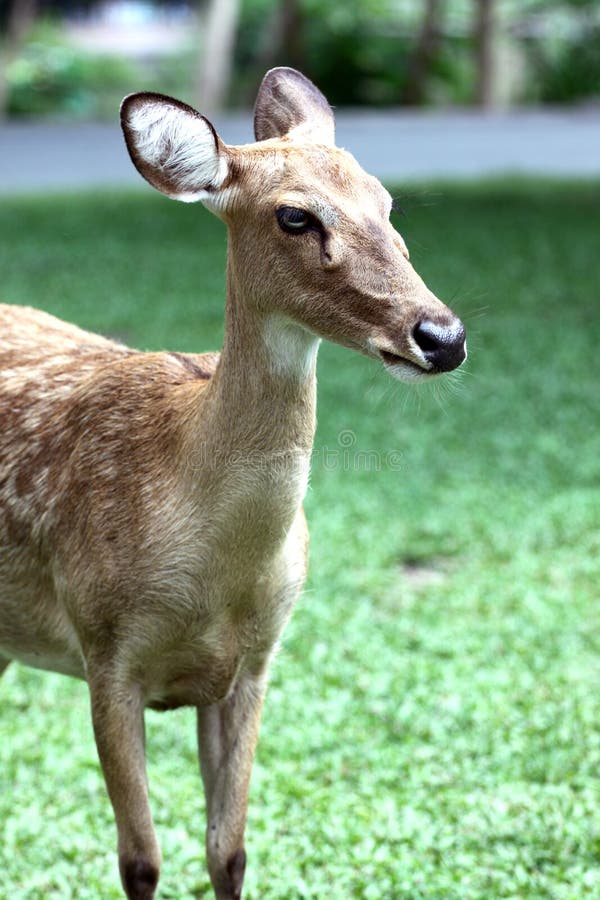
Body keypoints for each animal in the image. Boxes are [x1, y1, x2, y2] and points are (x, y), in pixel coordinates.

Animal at [0, 68, 466, 899]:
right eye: (295, 216)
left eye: (387, 202)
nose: (442, 337)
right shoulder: (103, 646)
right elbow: (140, 859)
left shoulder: (255, 661)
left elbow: (230, 849)